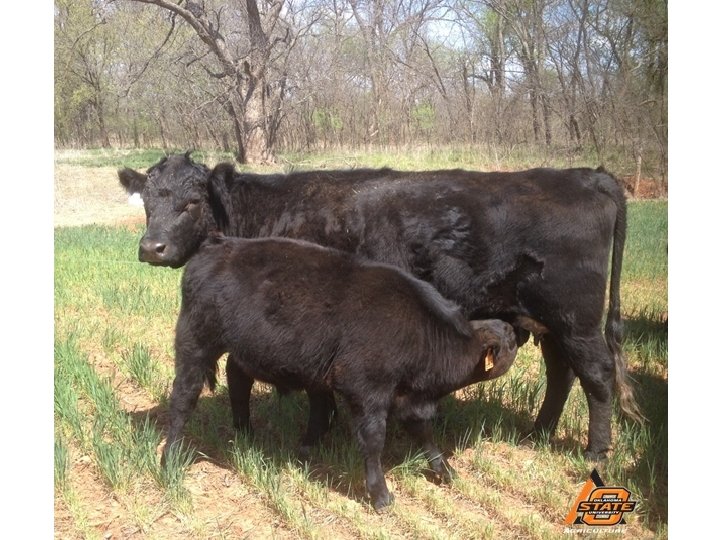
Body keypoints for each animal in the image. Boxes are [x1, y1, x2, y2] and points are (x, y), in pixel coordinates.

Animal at [119, 152, 642, 460]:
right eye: (146, 200)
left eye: (191, 201)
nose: (151, 248)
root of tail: (588, 175)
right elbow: (245, 373)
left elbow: (303, 387)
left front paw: (312, 439)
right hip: (549, 321)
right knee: (561, 374)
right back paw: (537, 434)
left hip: (576, 319)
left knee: (597, 378)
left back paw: (595, 453)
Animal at [166, 234, 518, 511]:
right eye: (511, 342)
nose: (518, 335)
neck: (419, 329)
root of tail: (217, 244)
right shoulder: (366, 390)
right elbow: (374, 440)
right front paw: (380, 495)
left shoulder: (406, 397)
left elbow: (423, 433)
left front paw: (444, 470)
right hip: (194, 344)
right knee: (183, 399)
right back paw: (169, 457)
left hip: (242, 352)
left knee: (238, 383)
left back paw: (245, 436)